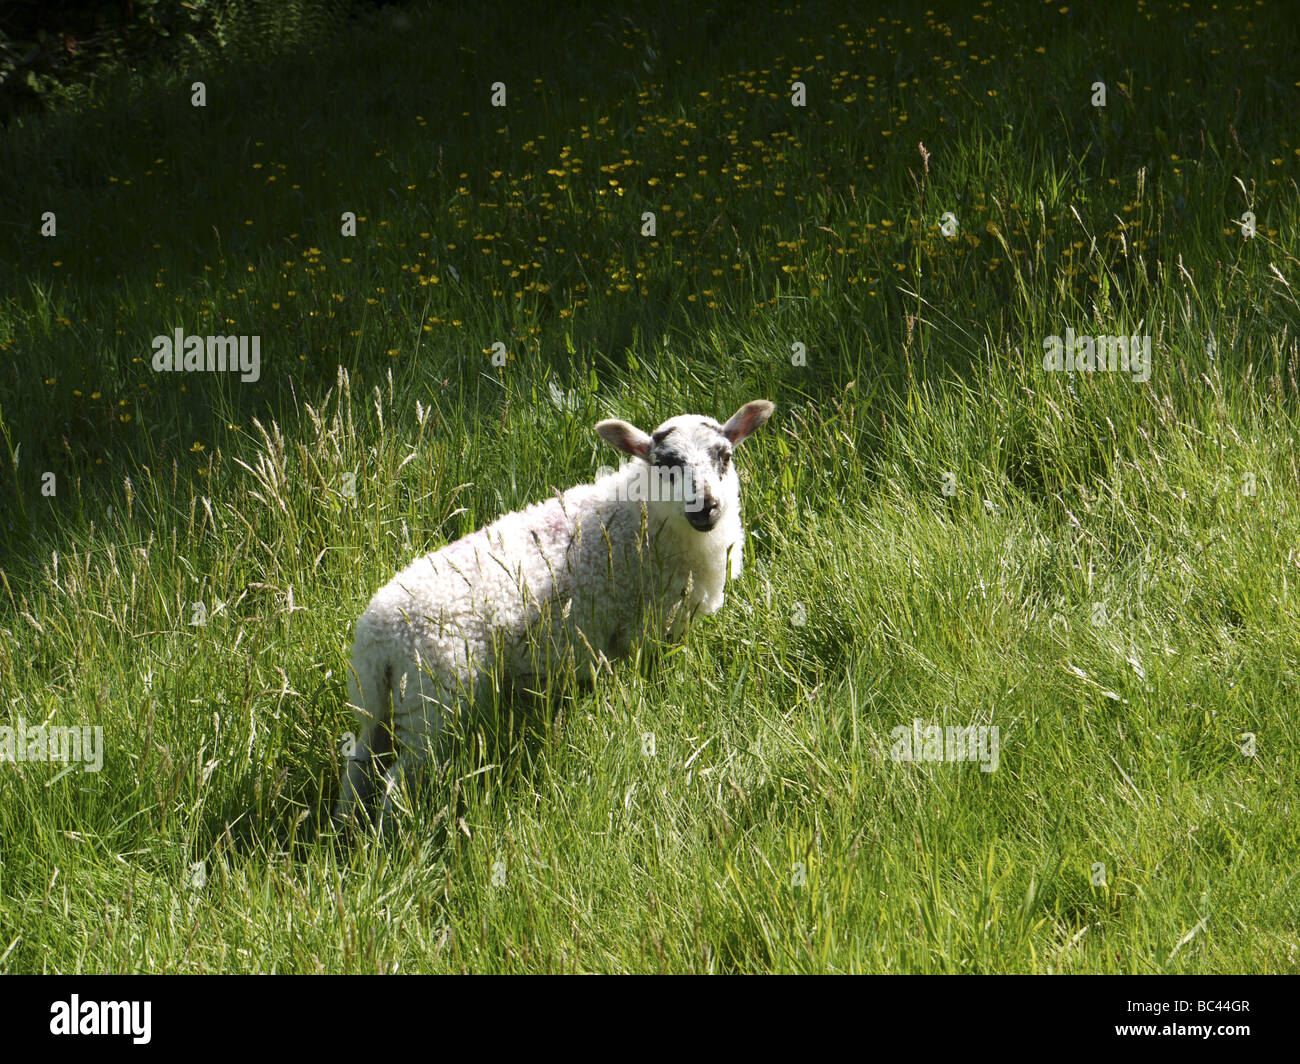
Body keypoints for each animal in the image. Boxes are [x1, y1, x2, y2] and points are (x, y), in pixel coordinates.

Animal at [335, 399, 774, 825]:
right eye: (666, 463)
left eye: (724, 456)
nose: (706, 507)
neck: (646, 518)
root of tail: (379, 637)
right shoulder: (643, 632)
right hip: (432, 699)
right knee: (395, 780)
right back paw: (391, 835)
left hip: (378, 704)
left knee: (357, 765)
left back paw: (345, 827)